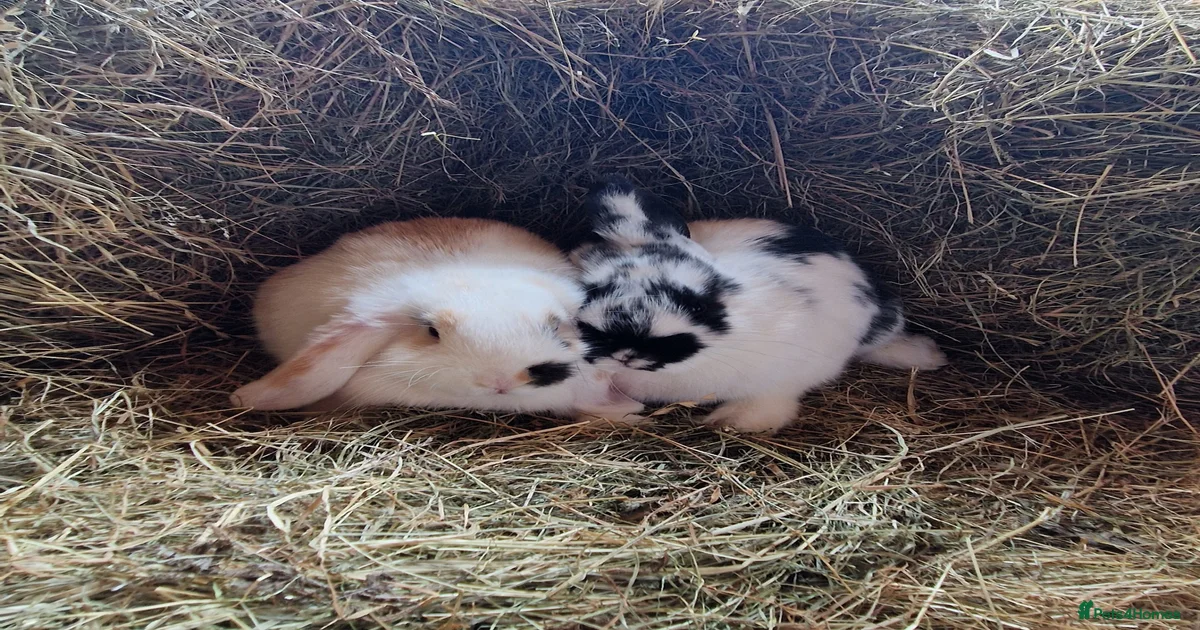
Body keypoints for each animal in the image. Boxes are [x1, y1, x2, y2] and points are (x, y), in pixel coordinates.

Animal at [569, 175, 947, 434]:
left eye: (699, 307)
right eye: (595, 289)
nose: (627, 353)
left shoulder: (782, 381)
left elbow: (768, 407)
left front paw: (726, 422)